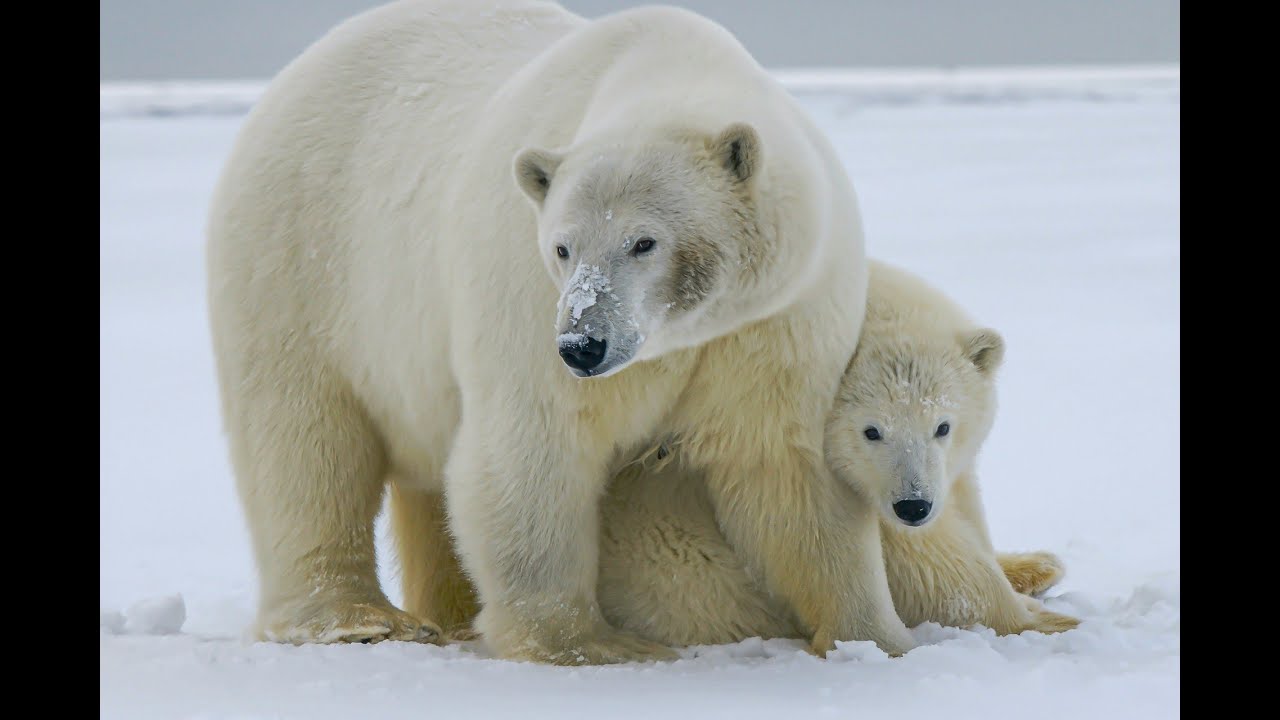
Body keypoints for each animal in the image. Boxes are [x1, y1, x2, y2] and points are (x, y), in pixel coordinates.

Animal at [206, 0, 914, 664]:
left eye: (644, 241)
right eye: (562, 247)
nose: (583, 344)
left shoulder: (776, 316)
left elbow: (786, 465)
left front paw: (875, 638)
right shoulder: (524, 296)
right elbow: (537, 445)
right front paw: (593, 645)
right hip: (300, 254)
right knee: (304, 439)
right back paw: (358, 620)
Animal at [592, 259, 1081, 645]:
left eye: (943, 426)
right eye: (871, 431)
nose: (914, 506)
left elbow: (963, 504)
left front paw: (1033, 568)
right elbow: (924, 562)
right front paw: (1048, 621)